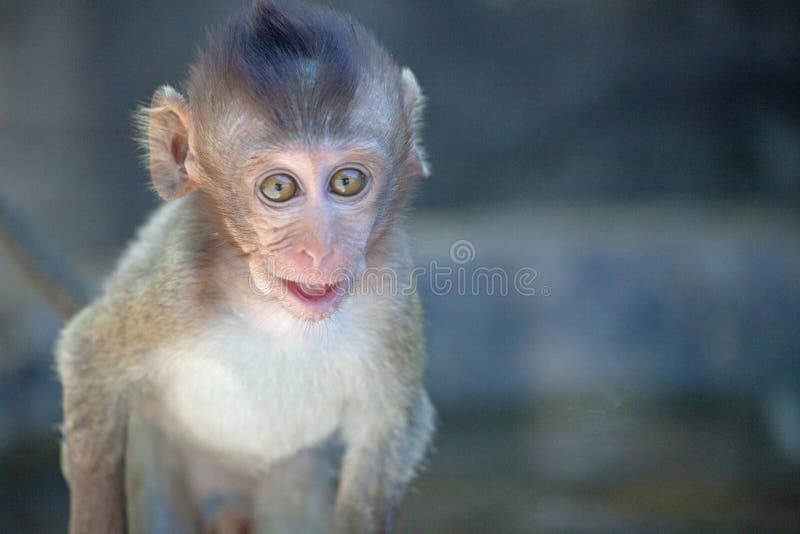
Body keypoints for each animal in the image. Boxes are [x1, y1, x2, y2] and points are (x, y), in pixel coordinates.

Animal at [54, 1, 434, 533]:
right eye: (279, 188)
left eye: (347, 181)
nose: (320, 250)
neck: (273, 312)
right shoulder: (175, 277)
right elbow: (88, 355)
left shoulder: (391, 294)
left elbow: (391, 427)